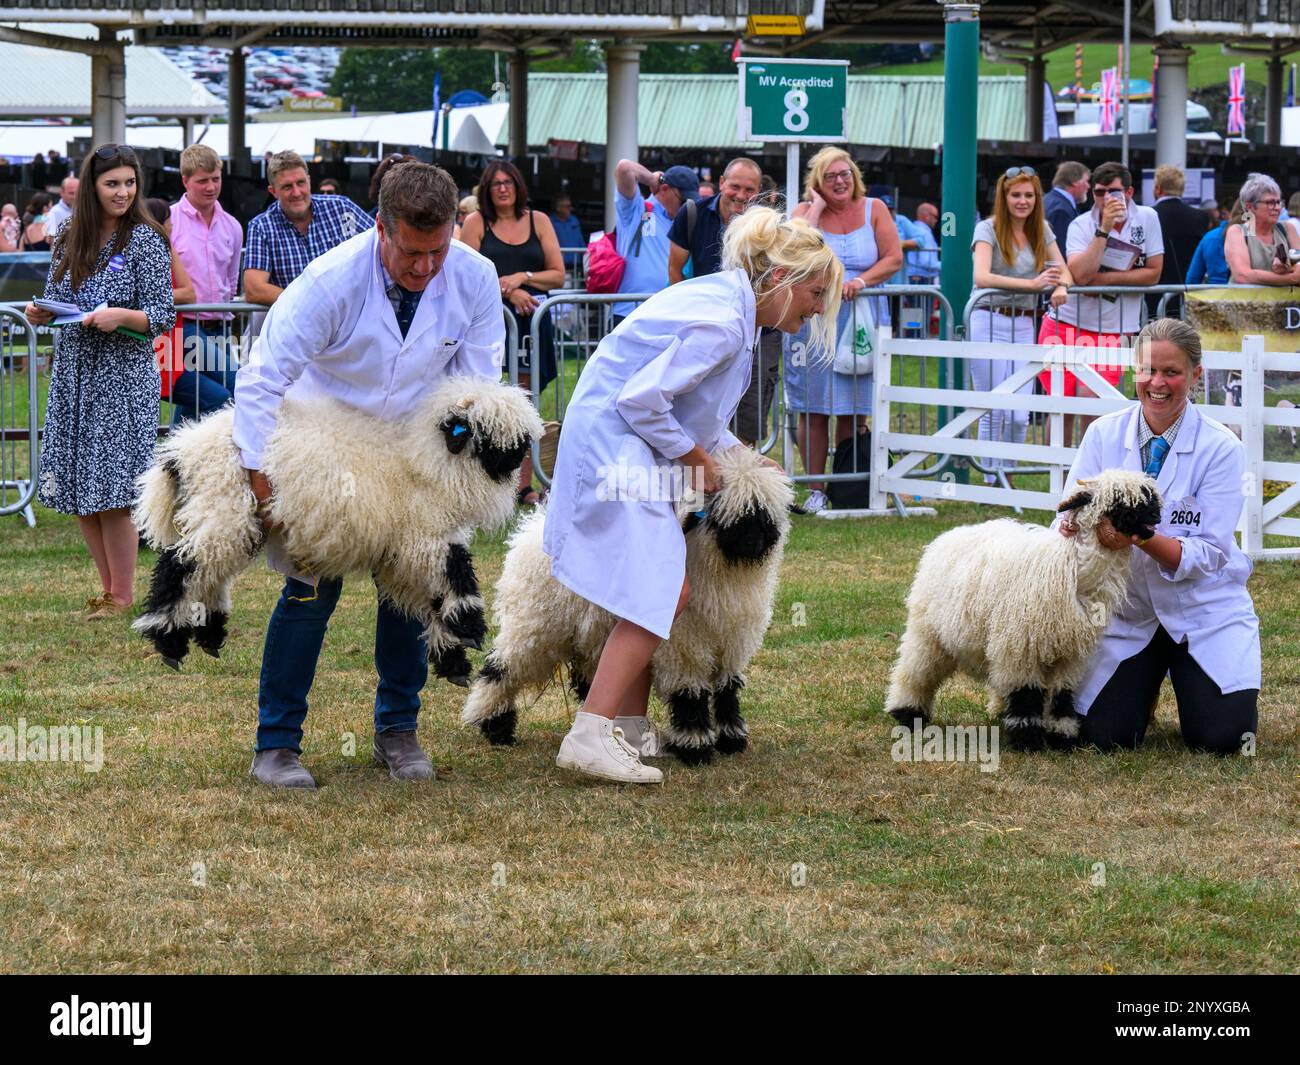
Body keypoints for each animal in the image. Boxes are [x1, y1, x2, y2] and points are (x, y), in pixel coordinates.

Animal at [132, 376, 543, 683]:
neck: (424, 461)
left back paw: (210, 630)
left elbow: (435, 597)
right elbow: (456, 573)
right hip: (225, 507)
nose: (517, 463)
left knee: (209, 571)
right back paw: (167, 638)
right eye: (489, 436)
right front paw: (470, 626)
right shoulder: (422, 537)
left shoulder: (407, 552)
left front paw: (452, 658)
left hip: (232, 517)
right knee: (180, 563)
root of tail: (181, 450)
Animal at [462, 446, 795, 764]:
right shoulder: (685, 644)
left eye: (764, 516)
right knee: (501, 669)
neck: (724, 575)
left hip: (586, 631)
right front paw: (695, 748)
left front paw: (731, 739)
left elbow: (728, 691)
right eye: (728, 514)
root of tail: (529, 533)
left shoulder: (733, 644)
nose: (753, 544)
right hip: (535, 625)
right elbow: (690, 694)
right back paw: (495, 726)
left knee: (590, 673)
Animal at [885, 469, 1162, 750]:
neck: (1071, 569)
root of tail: (948, 536)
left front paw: (1061, 735)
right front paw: (1027, 738)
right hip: (928, 629)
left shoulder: (1070, 654)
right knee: (915, 669)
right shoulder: (1022, 647)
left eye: (1151, 495)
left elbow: (1062, 694)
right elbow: (1026, 693)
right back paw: (907, 713)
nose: (1156, 516)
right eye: (1119, 499)